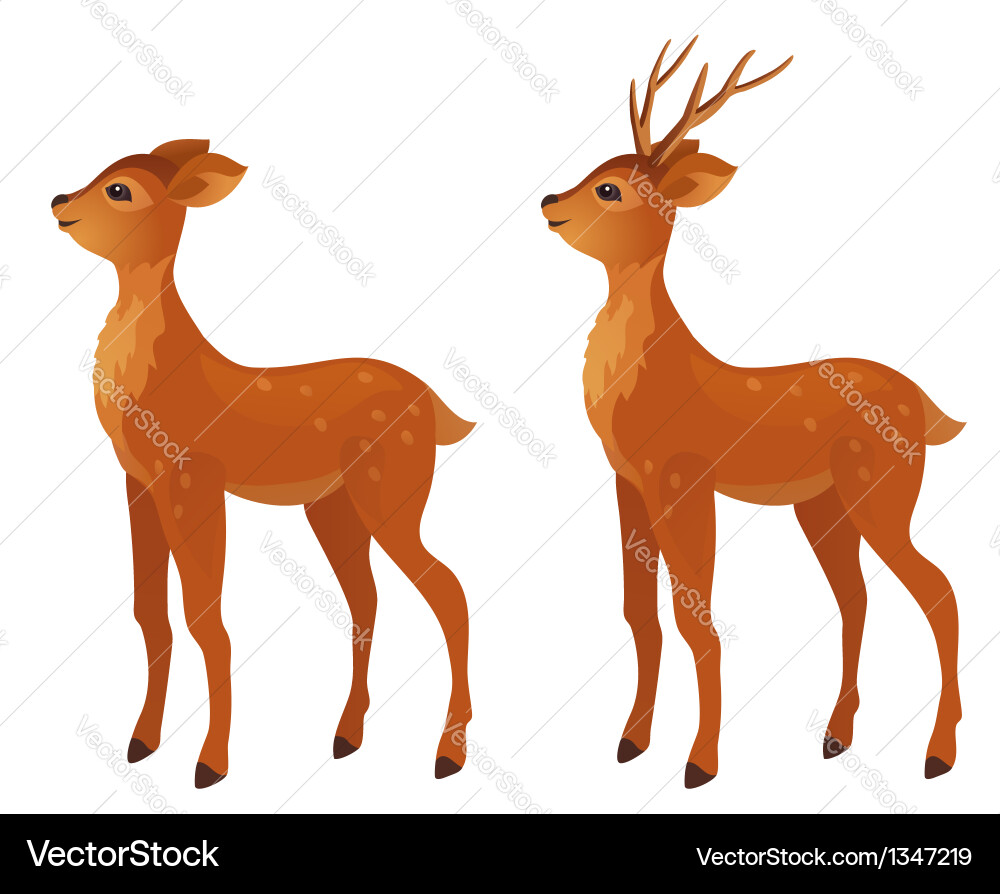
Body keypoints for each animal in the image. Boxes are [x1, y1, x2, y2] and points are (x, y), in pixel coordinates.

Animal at [52, 139, 475, 787]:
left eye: (119, 189)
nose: (58, 201)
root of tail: (433, 403)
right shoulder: (137, 480)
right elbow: (150, 614)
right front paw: (141, 742)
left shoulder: (193, 474)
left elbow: (206, 619)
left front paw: (210, 763)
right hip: (332, 505)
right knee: (367, 599)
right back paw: (347, 736)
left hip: (392, 489)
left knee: (448, 589)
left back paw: (447, 754)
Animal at [541, 37, 964, 788]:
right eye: (596, 167)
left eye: (611, 188)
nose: (547, 201)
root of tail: (926, 406)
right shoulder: (627, 480)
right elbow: (637, 613)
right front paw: (631, 741)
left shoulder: (681, 476)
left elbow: (696, 618)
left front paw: (701, 762)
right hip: (824, 505)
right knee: (857, 597)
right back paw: (836, 736)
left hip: (883, 487)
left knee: (938, 589)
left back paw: (938, 754)